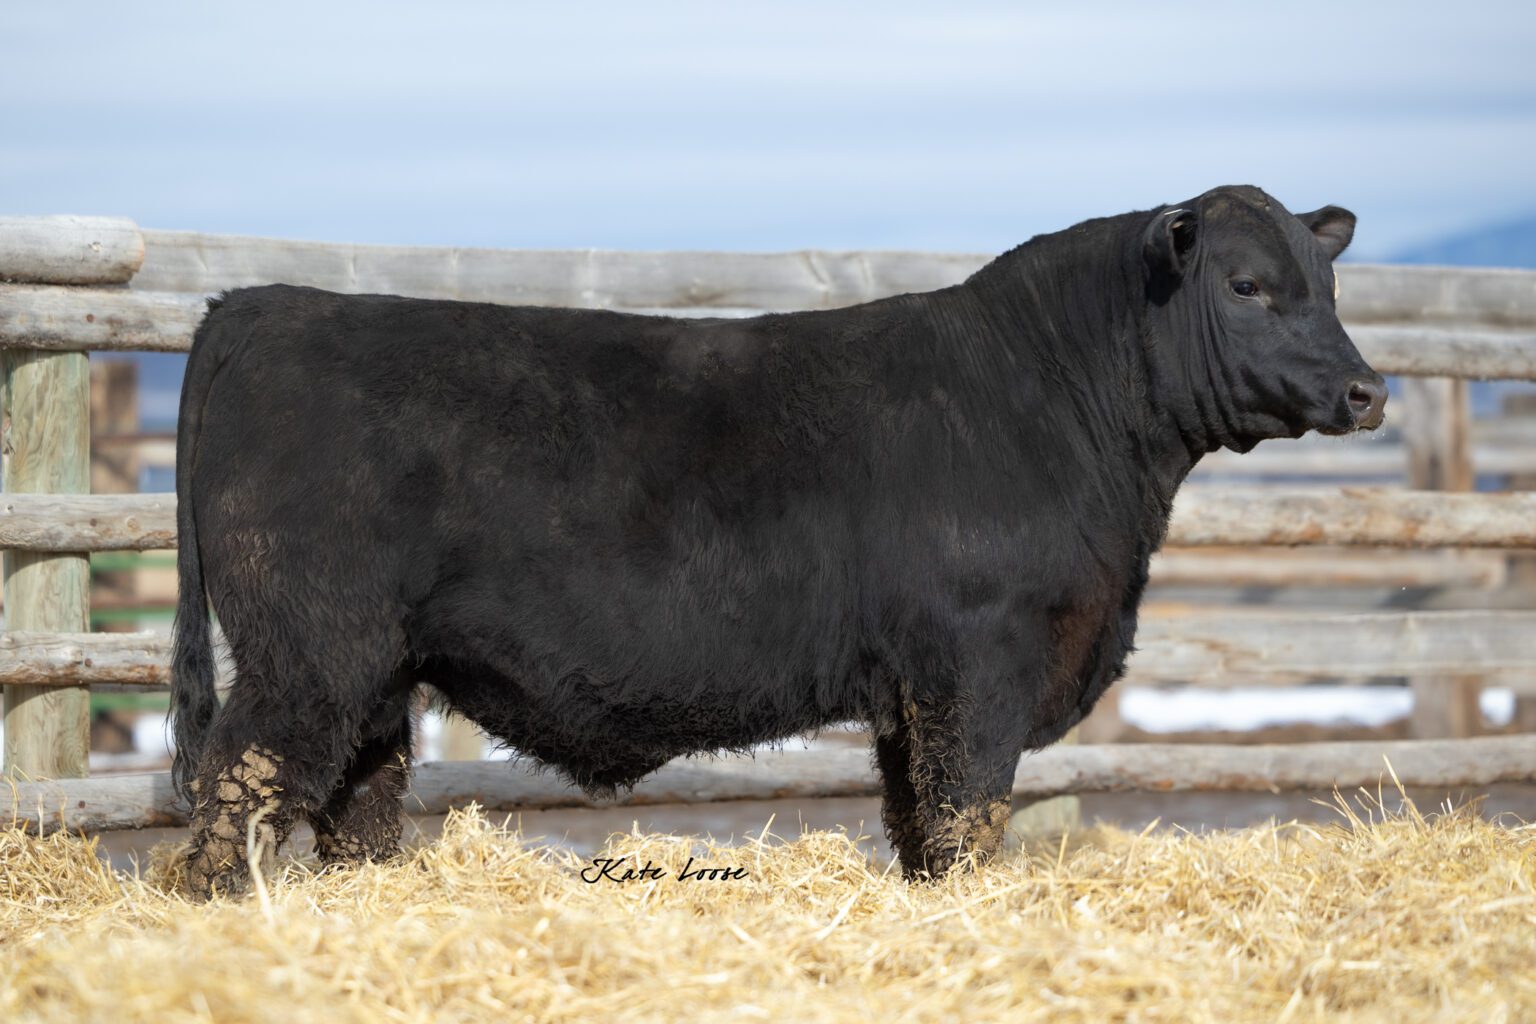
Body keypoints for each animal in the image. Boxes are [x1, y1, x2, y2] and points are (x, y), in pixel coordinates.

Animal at [170, 184, 1386, 897]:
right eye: (1246, 284)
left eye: (1327, 283)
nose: (1368, 391)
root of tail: (257, 303)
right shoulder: (978, 665)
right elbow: (969, 813)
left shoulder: (911, 689)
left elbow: (918, 822)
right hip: (306, 653)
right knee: (233, 793)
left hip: (374, 671)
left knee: (355, 805)